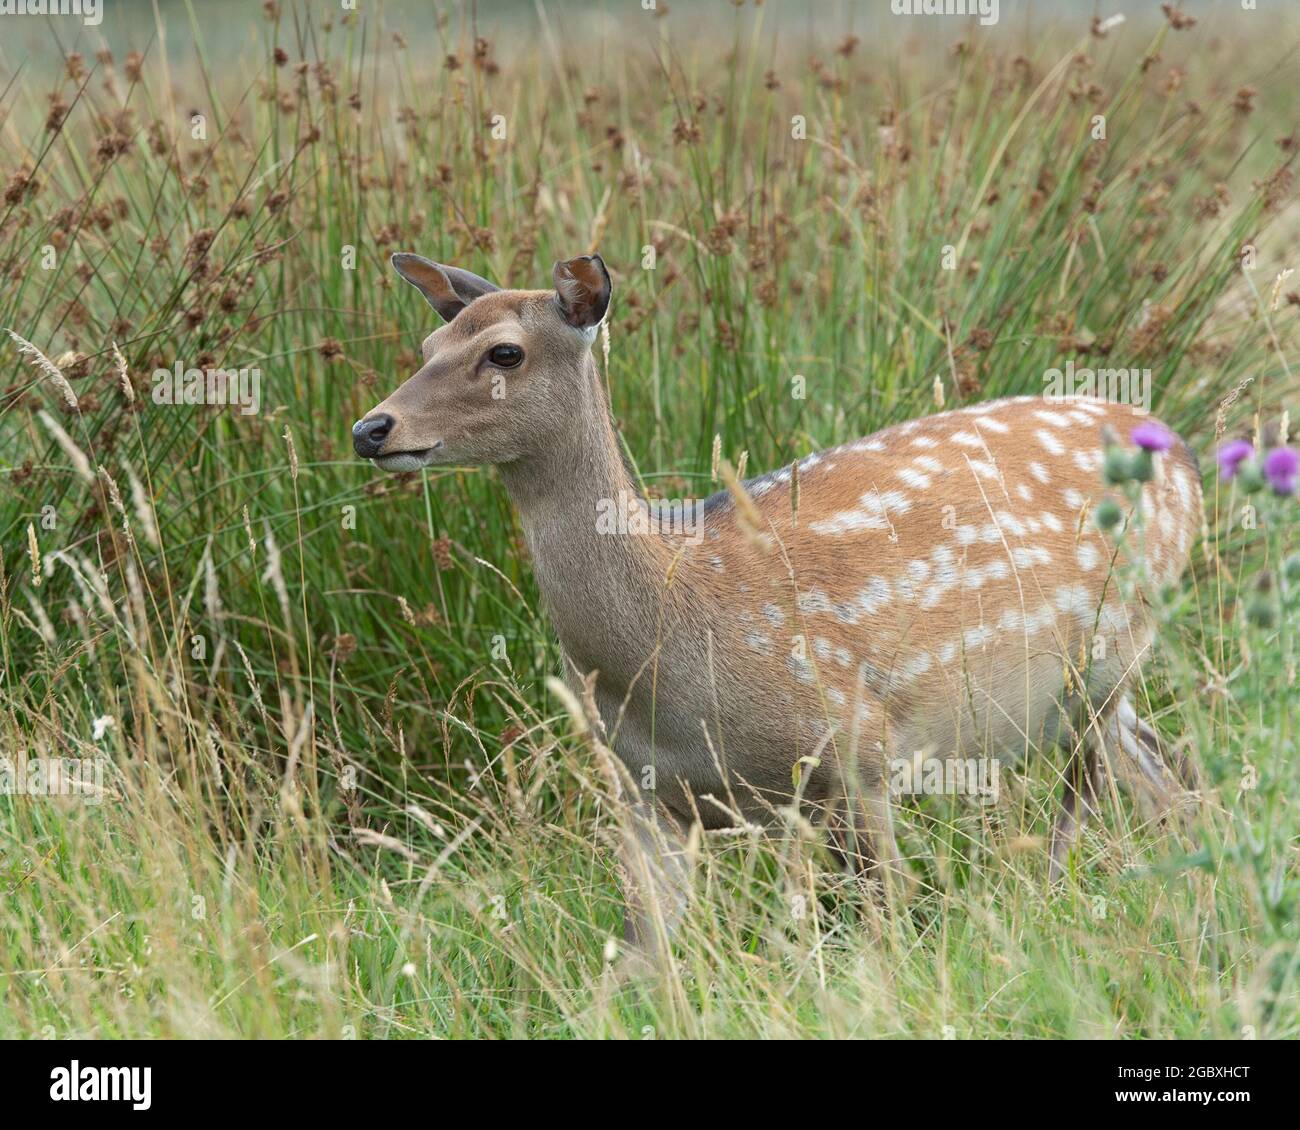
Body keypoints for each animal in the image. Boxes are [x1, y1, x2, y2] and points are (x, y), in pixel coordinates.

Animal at [354, 251, 1202, 951]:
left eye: (504, 351)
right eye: (428, 346)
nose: (371, 427)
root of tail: (1184, 452)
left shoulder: (856, 746)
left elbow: (885, 916)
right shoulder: (640, 790)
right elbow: (638, 954)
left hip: (1108, 653)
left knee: (1094, 791)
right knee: (1166, 770)